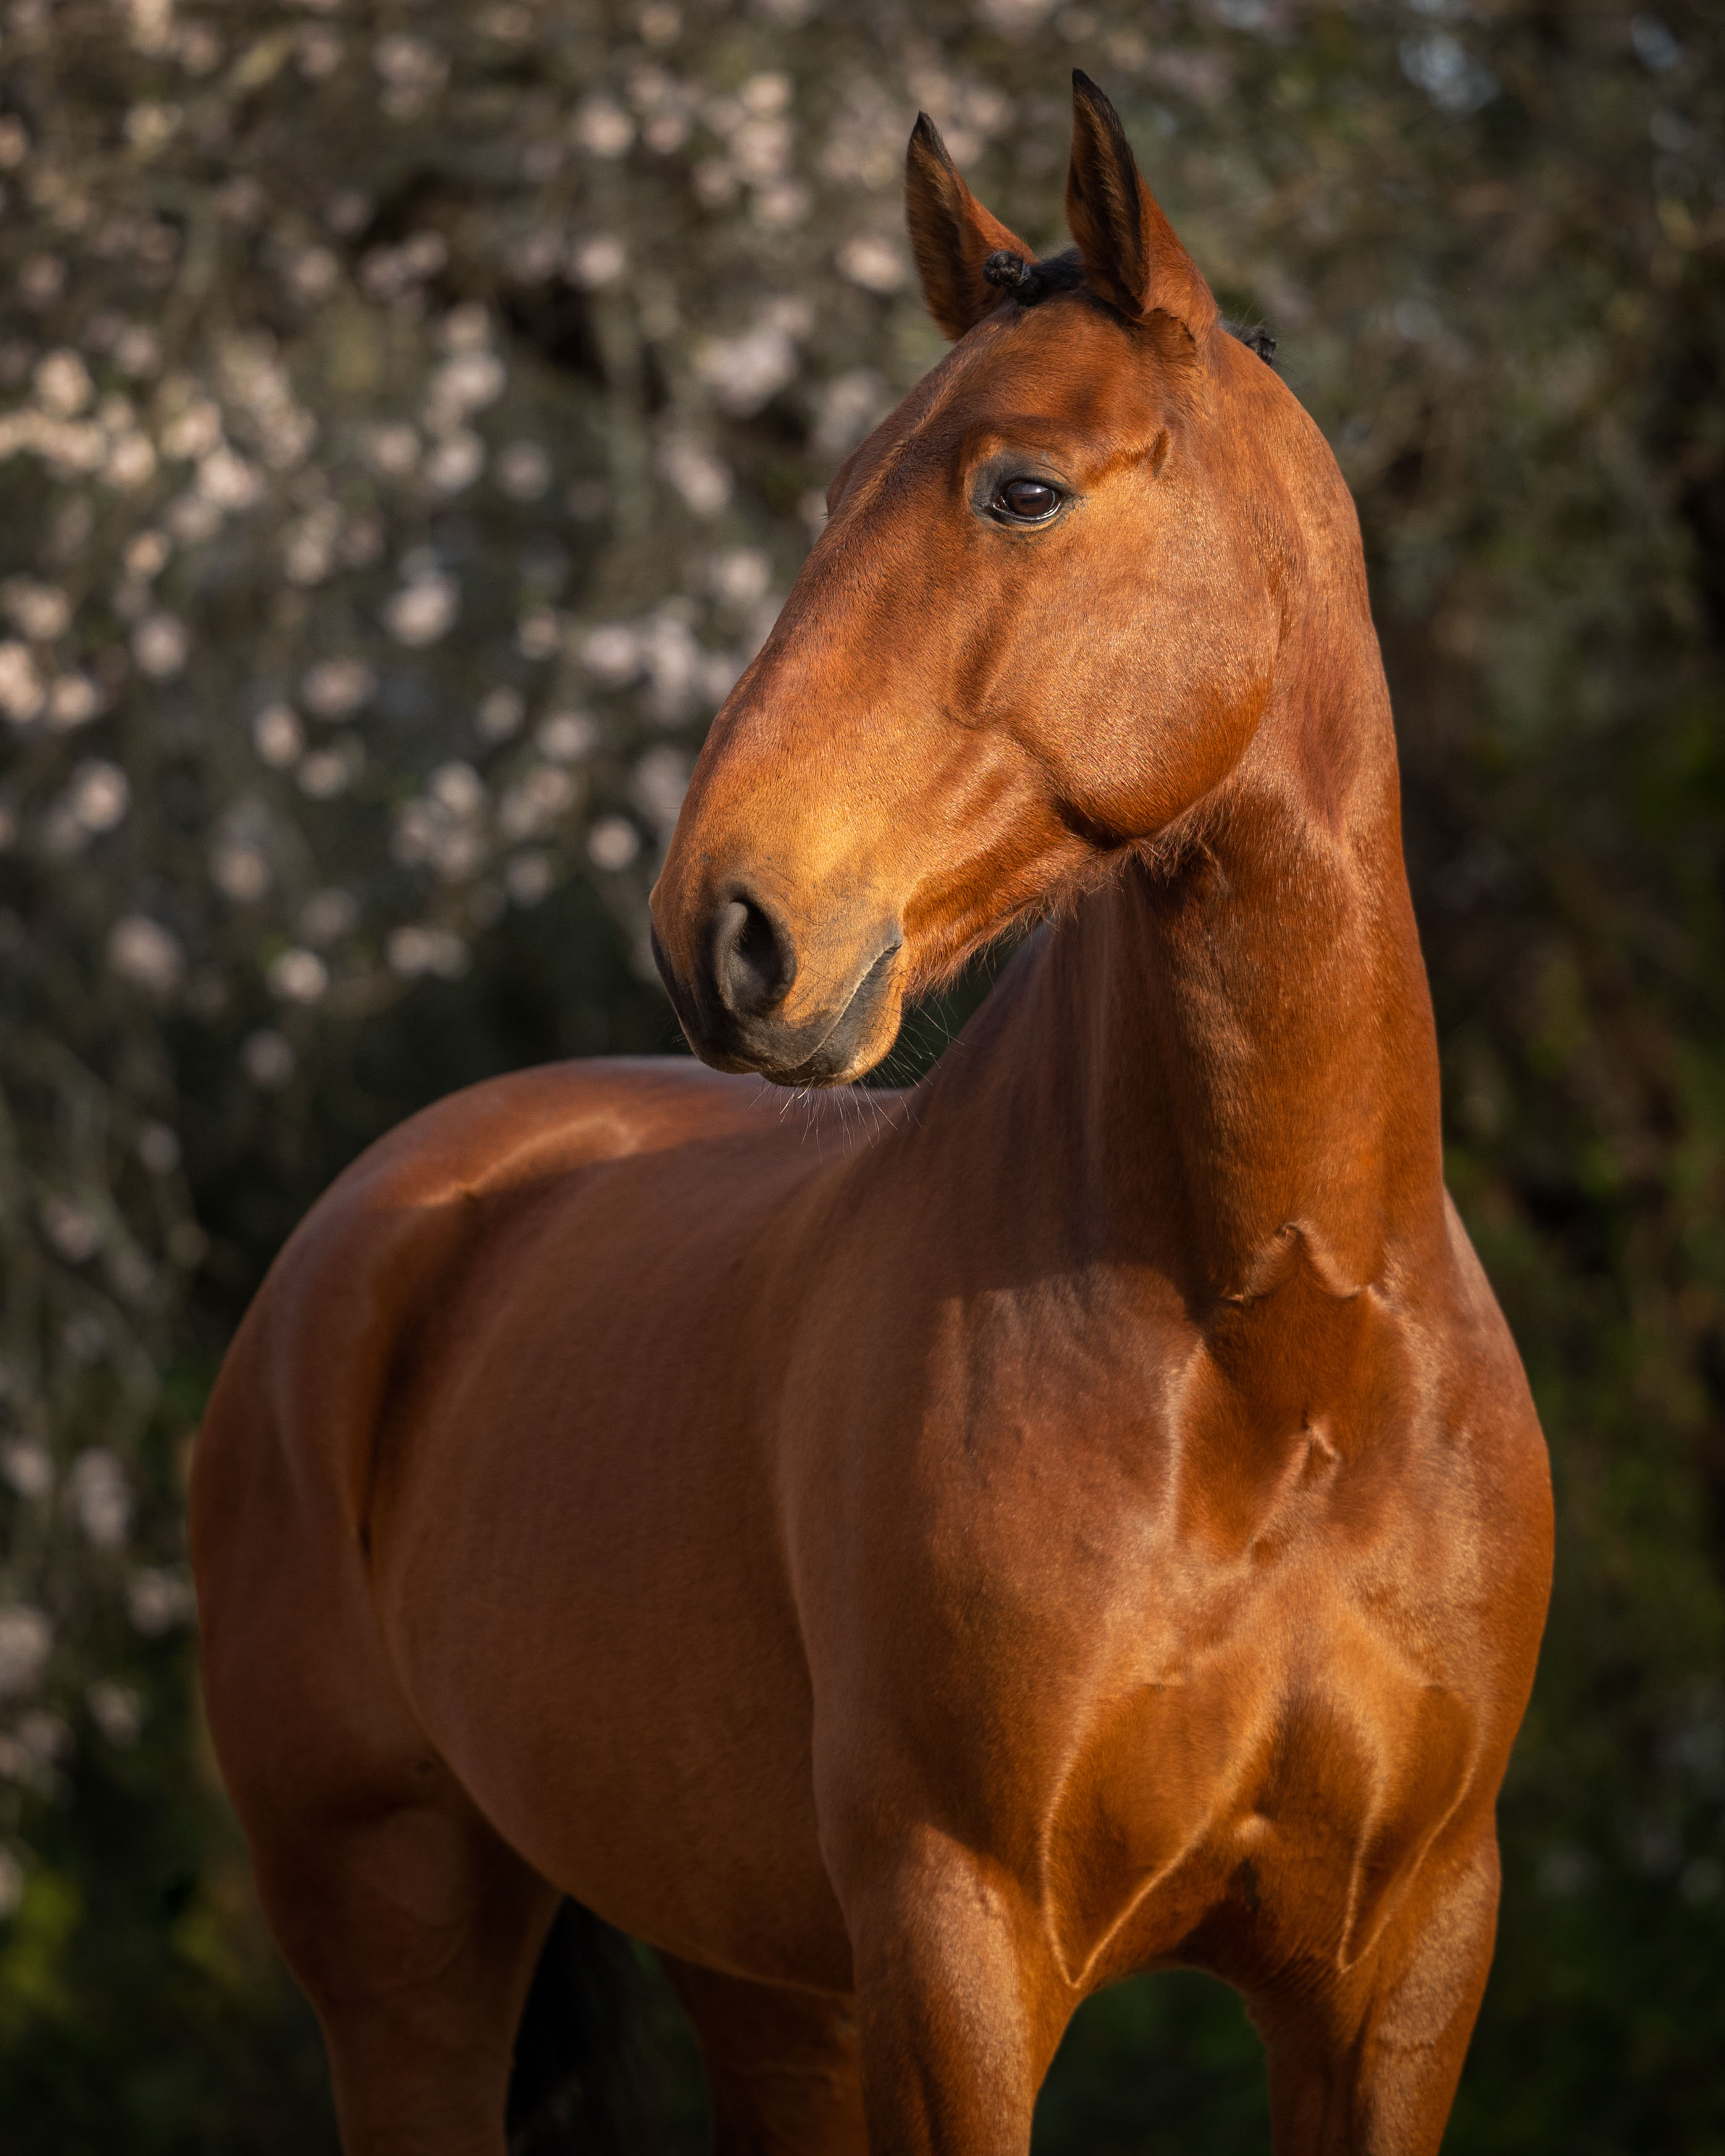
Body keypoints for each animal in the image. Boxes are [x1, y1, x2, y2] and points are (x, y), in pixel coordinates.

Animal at [190, 71, 1553, 2156]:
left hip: (763, 1980)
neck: (1280, 1348)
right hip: (403, 1931)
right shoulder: (958, 1944)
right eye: (834, 491)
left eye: (1021, 487)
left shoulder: (1404, 1963)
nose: (724, 928)